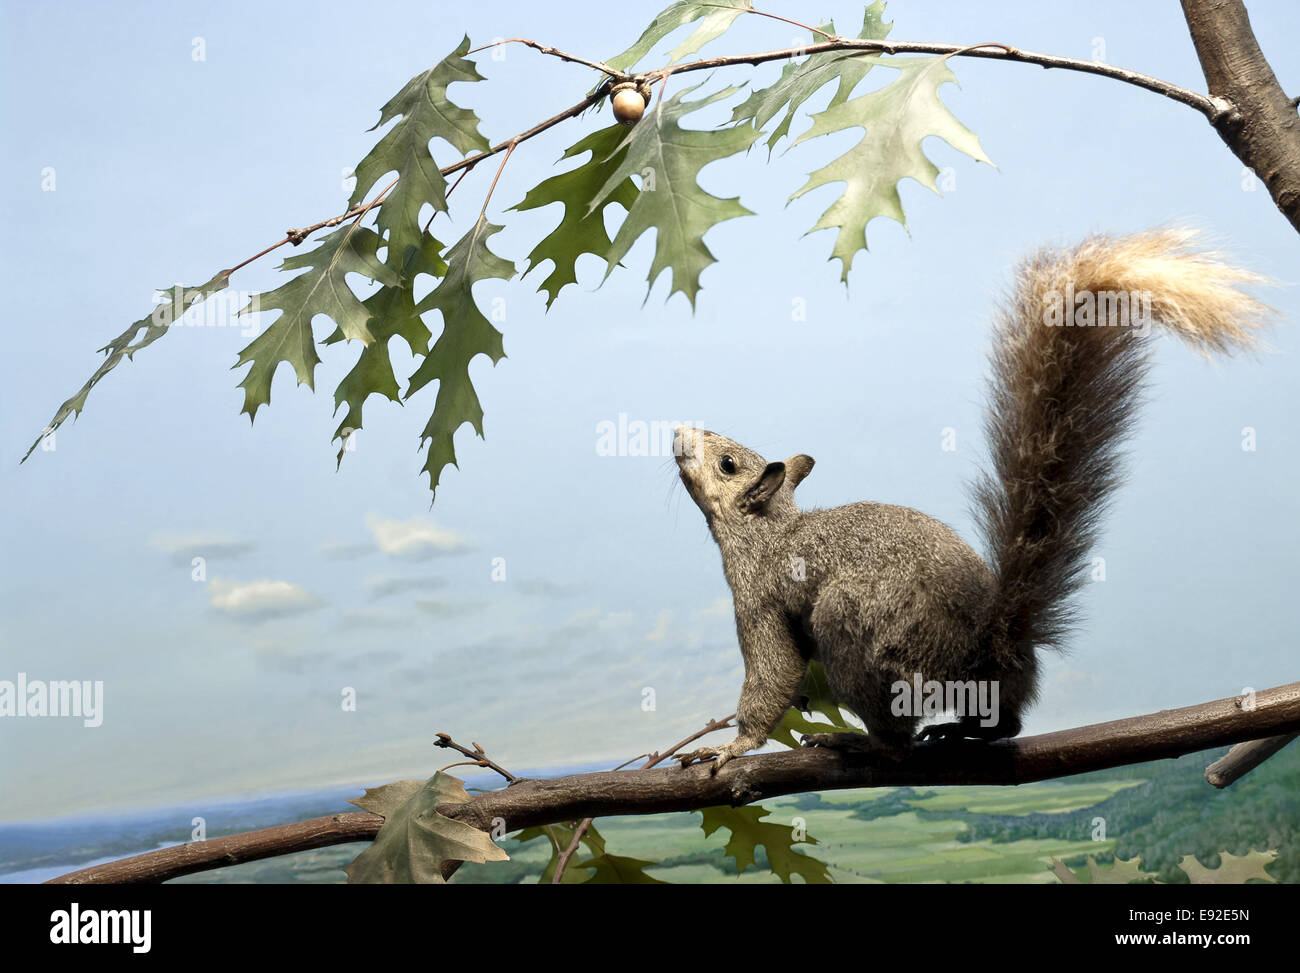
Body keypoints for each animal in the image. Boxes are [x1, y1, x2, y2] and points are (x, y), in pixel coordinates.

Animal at [673, 228, 1272, 773]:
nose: (677, 431)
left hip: (864, 633)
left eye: (727, 463)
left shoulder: (760, 598)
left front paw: (730, 747)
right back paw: (969, 730)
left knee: (897, 741)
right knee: (1009, 721)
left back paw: (860, 742)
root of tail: (993, 644)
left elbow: (772, 675)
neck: (771, 530)